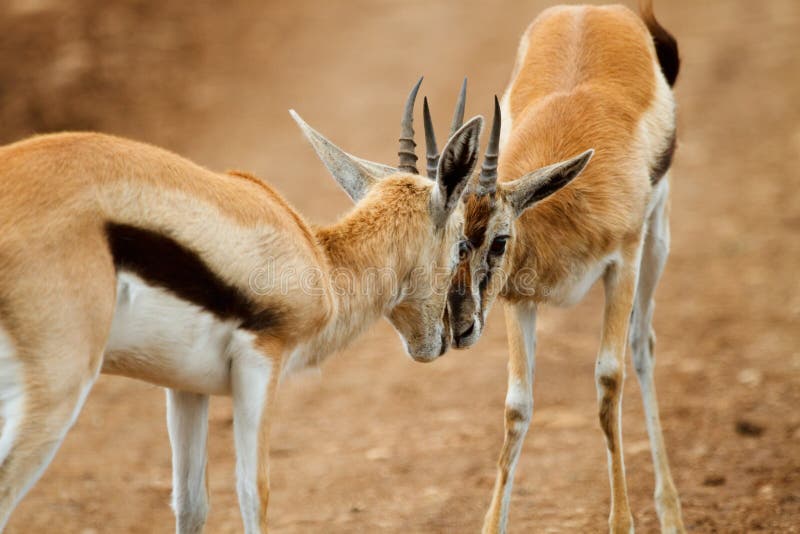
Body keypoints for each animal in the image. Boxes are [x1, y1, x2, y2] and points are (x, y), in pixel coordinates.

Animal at [0, 79, 486, 533]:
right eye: (461, 245)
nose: (449, 337)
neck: (320, 261)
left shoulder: (185, 387)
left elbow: (191, 504)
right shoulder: (260, 363)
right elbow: (255, 493)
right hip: (55, 390)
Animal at [433, 1, 683, 532]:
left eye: (500, 241)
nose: (459, 327)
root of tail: (596, 9)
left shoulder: (623, 261)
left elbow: (609, 381)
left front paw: (622, 522)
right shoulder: (515, 300)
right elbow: (517, 407)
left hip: (656, 238)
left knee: (642, 345)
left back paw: (672, 514)